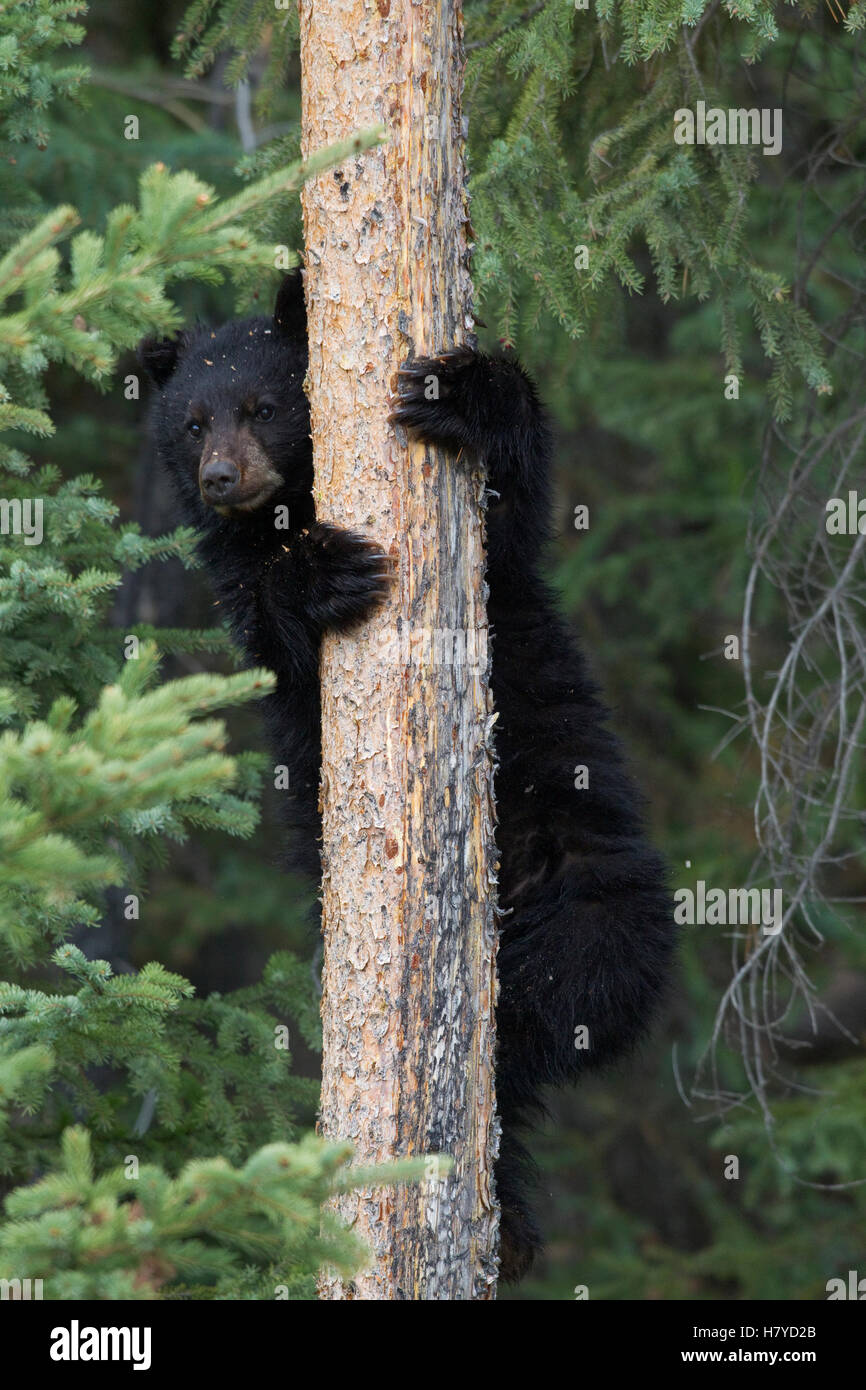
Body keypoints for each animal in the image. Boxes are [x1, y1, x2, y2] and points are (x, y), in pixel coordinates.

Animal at [139, 271, 675, 1284]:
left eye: (264, 406)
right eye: (190, 423)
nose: (223, 479)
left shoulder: (502, 569)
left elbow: (512, 505)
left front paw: (455, 392)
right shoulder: (235, 581)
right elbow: (266, 625)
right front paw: (324, 570)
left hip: (593, 877)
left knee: (577, 983)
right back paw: (513, 1221)